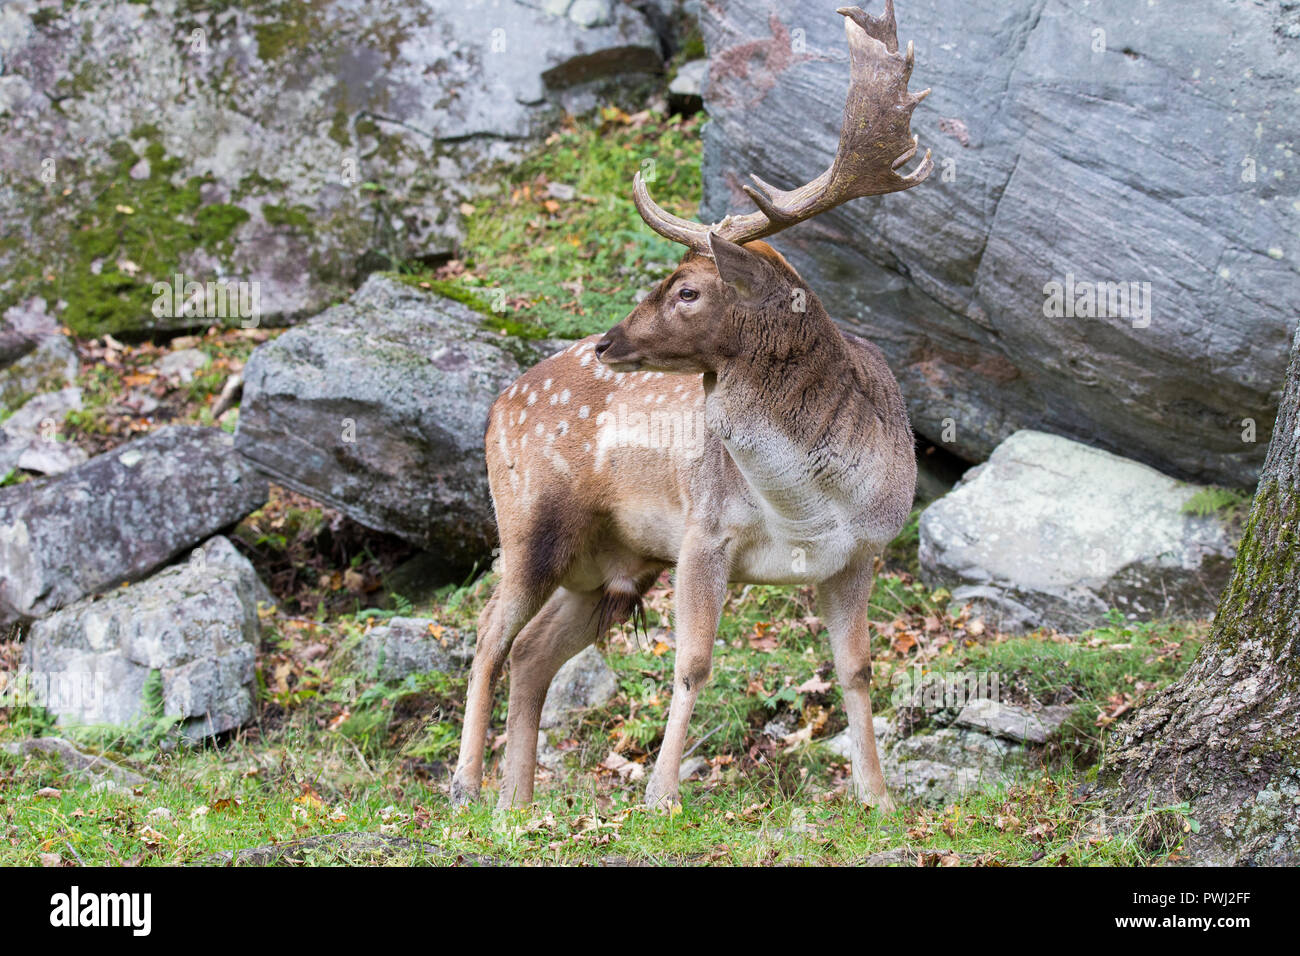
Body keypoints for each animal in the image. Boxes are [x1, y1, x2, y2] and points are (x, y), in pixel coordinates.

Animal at [451, 0, 932, 812]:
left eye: (688, 290)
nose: (609, 341)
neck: (808, 508)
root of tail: (495, 406)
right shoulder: (705, 532)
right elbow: (693, 663)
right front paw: (660, 796)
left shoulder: (861, 551)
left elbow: (858, 670)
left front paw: (879, 798)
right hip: (529, 519)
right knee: (488, 633)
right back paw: (464, 785)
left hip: (612, 562)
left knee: (532, 651)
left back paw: (517, 803)